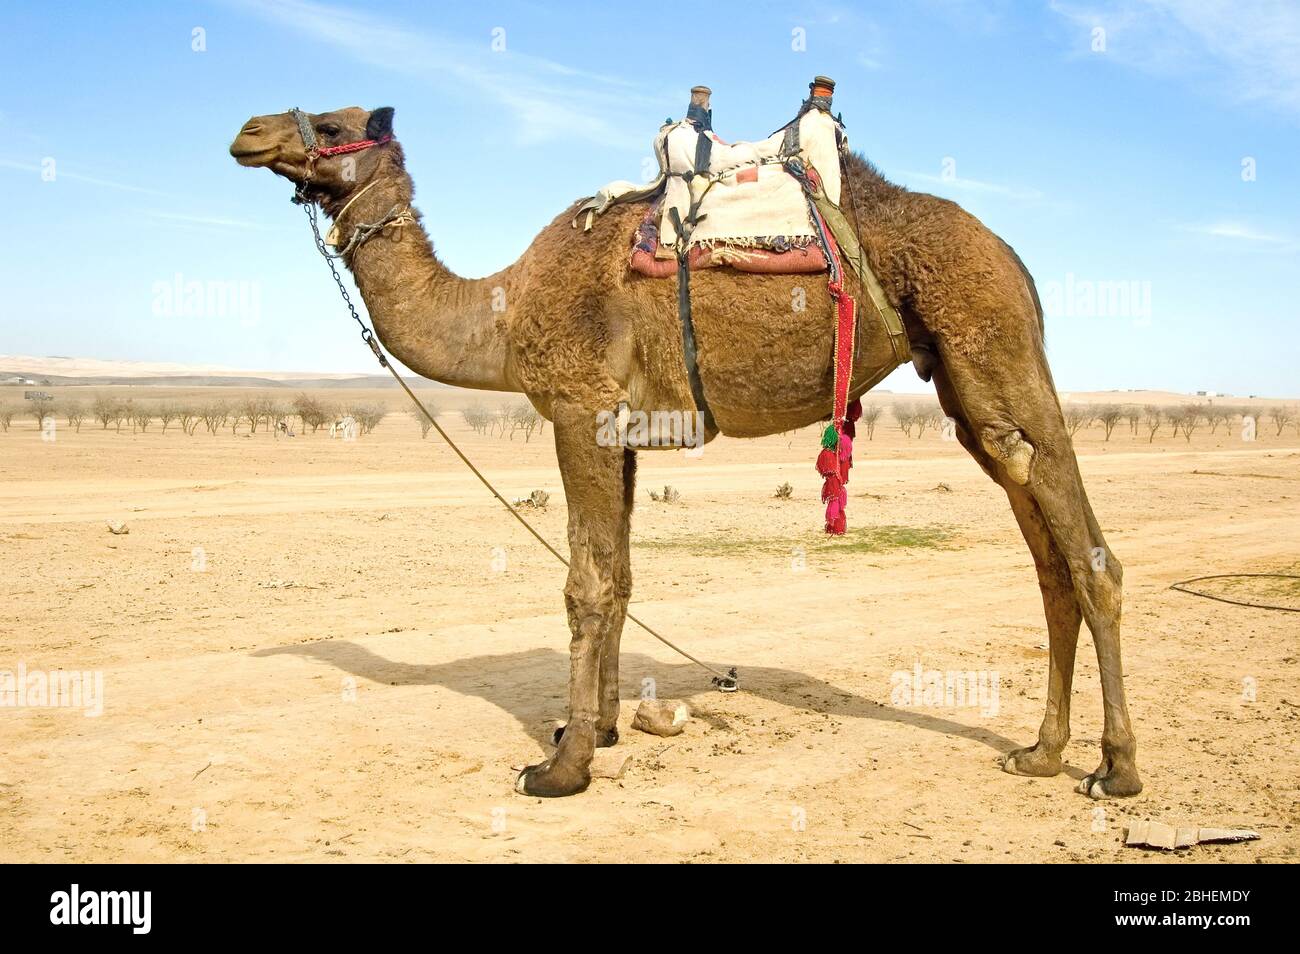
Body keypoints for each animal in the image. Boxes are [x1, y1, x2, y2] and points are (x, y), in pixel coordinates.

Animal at [230, 105, 1140, 800]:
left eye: (336, 125)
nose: (248, 131)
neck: (502, 310)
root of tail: (1015, 260)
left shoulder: (578, 411)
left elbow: (585, 586)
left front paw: (560, 769)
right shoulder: (621, 429)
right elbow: (623, 577)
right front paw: (597, 727)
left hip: (992, 341)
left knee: (1090, 557)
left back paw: (1116, 769)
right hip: (964, 384)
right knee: (1047, 553)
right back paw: (1040, 753)